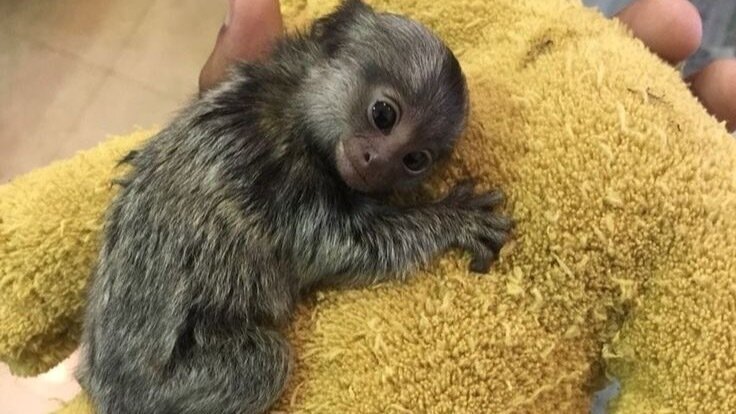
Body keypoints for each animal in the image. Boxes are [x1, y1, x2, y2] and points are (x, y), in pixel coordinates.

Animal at [77, 1, 512, 413]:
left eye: (414, 160)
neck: (297, 117)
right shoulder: (279, 179)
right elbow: (346, 246)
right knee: (266, 366)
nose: (377, 163)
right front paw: (452, 217)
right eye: (383, 114)